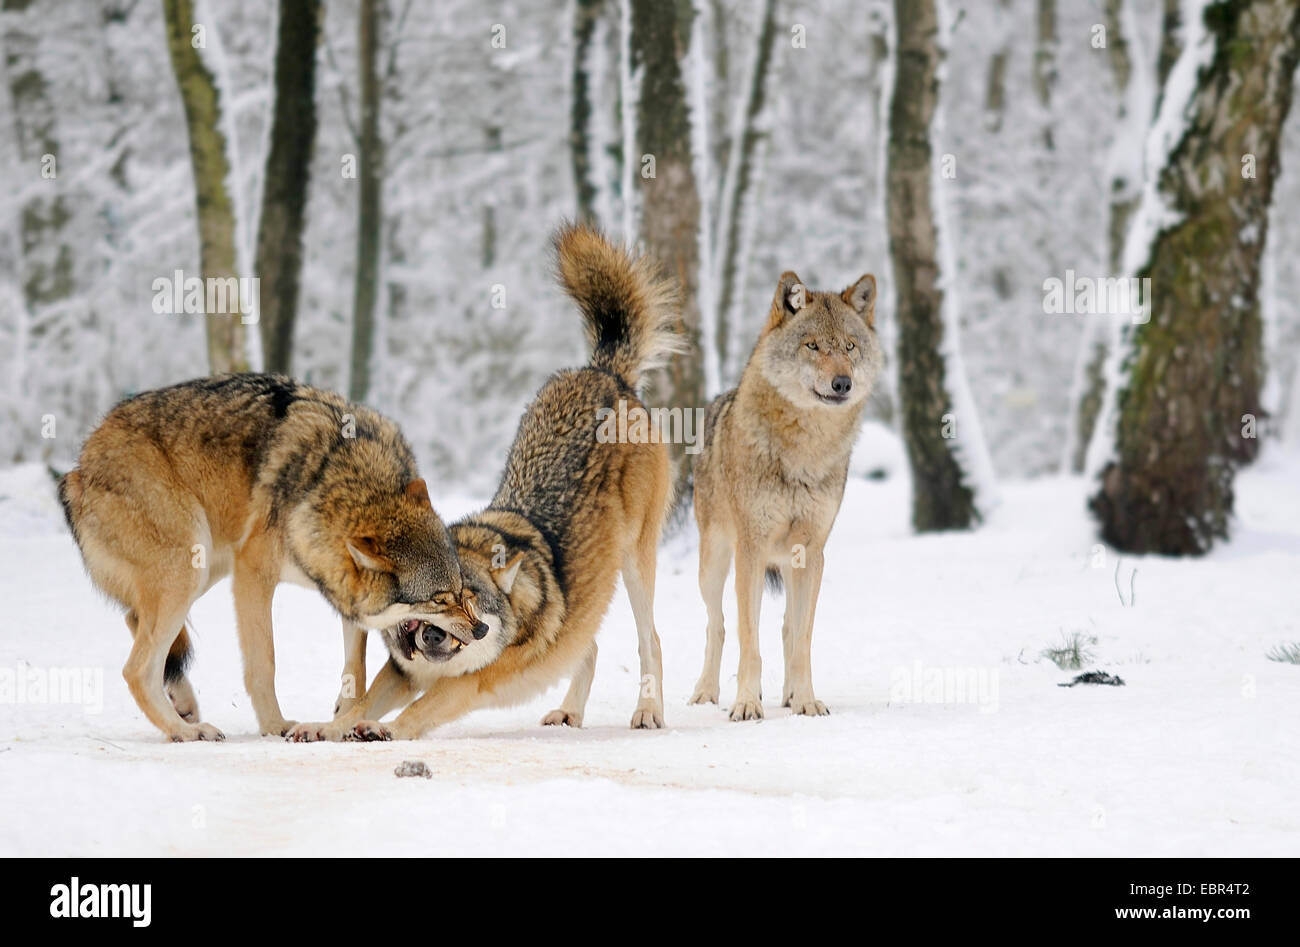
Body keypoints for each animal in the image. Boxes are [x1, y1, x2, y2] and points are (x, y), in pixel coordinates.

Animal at [59, 373, 476, 741]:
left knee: (137, 622)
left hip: (205, 566)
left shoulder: (341, 589)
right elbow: (264, 663)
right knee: (137, 669)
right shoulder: (252, 573)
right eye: (439, 600)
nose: (480, 631)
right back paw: (185, 731)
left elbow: (355, 666)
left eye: (461, 590)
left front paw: (343, 715)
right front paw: (275, 726)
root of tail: (78, 468)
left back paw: (184, 706)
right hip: (189, 567)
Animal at [287, 223, 678, 741]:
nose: (440, 636)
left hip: (636, 563)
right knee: (588, 647)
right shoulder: (404, 670)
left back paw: (649, 711)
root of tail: (604, 372)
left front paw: (384, 730)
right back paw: (569, 712)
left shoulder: (468, 683)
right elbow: (361, 704)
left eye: (470, 601)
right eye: (433, 606)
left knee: (651, 638)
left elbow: (416, 711)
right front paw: (324, 727)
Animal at [688, 270, 882, 720]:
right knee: (717, 624)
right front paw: (746, 703)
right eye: (812, 345)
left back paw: (790, 695)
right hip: (714, 563)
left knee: (786, 628)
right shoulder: (752, 550)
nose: (842, 382)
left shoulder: (812, 552)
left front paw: (807, 701)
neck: (804, 450)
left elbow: (801, 640)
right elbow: (748, 639)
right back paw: (707, 693)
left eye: (849, 346)